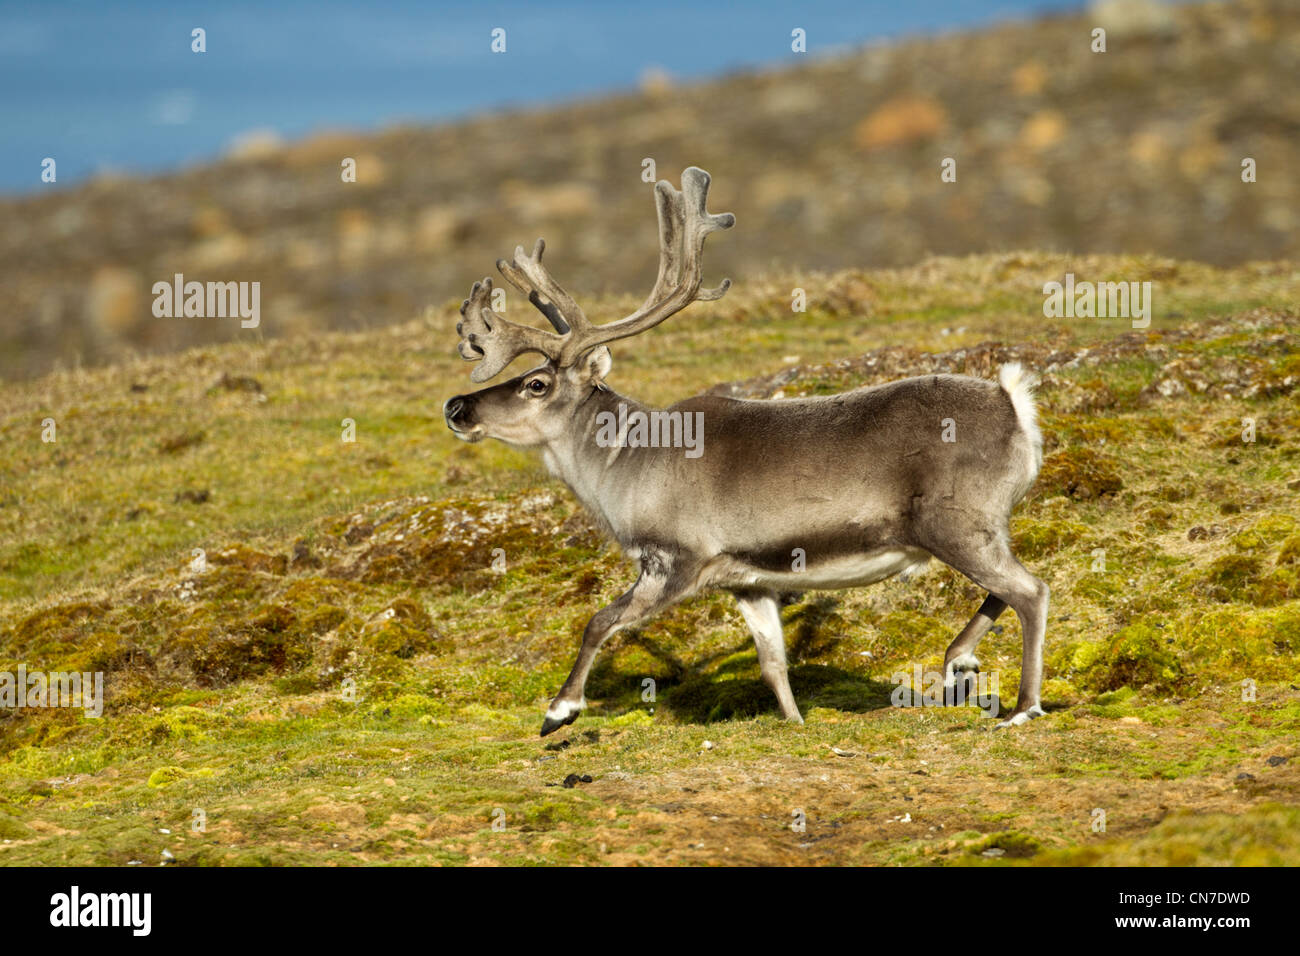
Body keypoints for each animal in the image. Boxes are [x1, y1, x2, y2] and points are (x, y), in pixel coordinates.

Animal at [443, 167, 1049, 737]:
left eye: (536, 384)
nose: (456, 406)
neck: (622, 465)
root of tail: (1014, 404)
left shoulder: (676, 559)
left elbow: (599, 620)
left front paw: (559, 710)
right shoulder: (746, 581)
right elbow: (773, 664)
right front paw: (796, 723)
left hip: (955, 523)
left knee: (1031, 590)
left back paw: (1021, 706)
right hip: (981, 526)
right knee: (1007, 589)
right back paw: (960, 661)